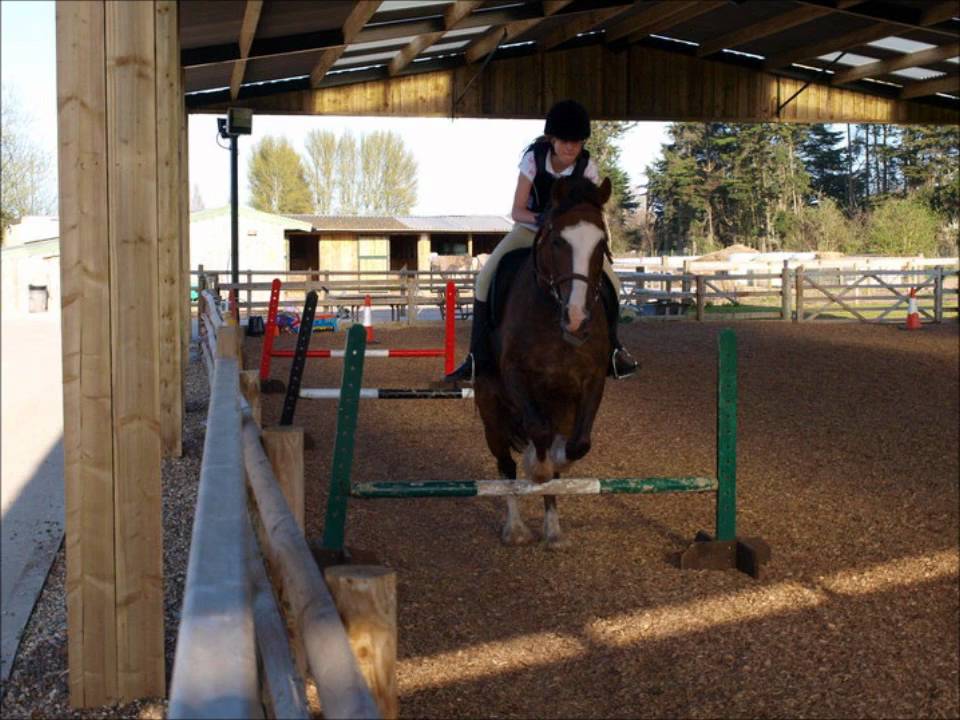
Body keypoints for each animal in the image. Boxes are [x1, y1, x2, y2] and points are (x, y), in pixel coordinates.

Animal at [475, 175, 614, 550]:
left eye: (601, 243)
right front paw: (535, 468)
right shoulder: (515, 375)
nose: (577, 320)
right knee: (505, 467)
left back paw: (553, 532)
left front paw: (555, 460)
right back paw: (516, 529)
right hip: (491, 410)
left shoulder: (592, 380)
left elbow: (577, 446)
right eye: (557, 241)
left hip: (560, 408)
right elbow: (536, 435)